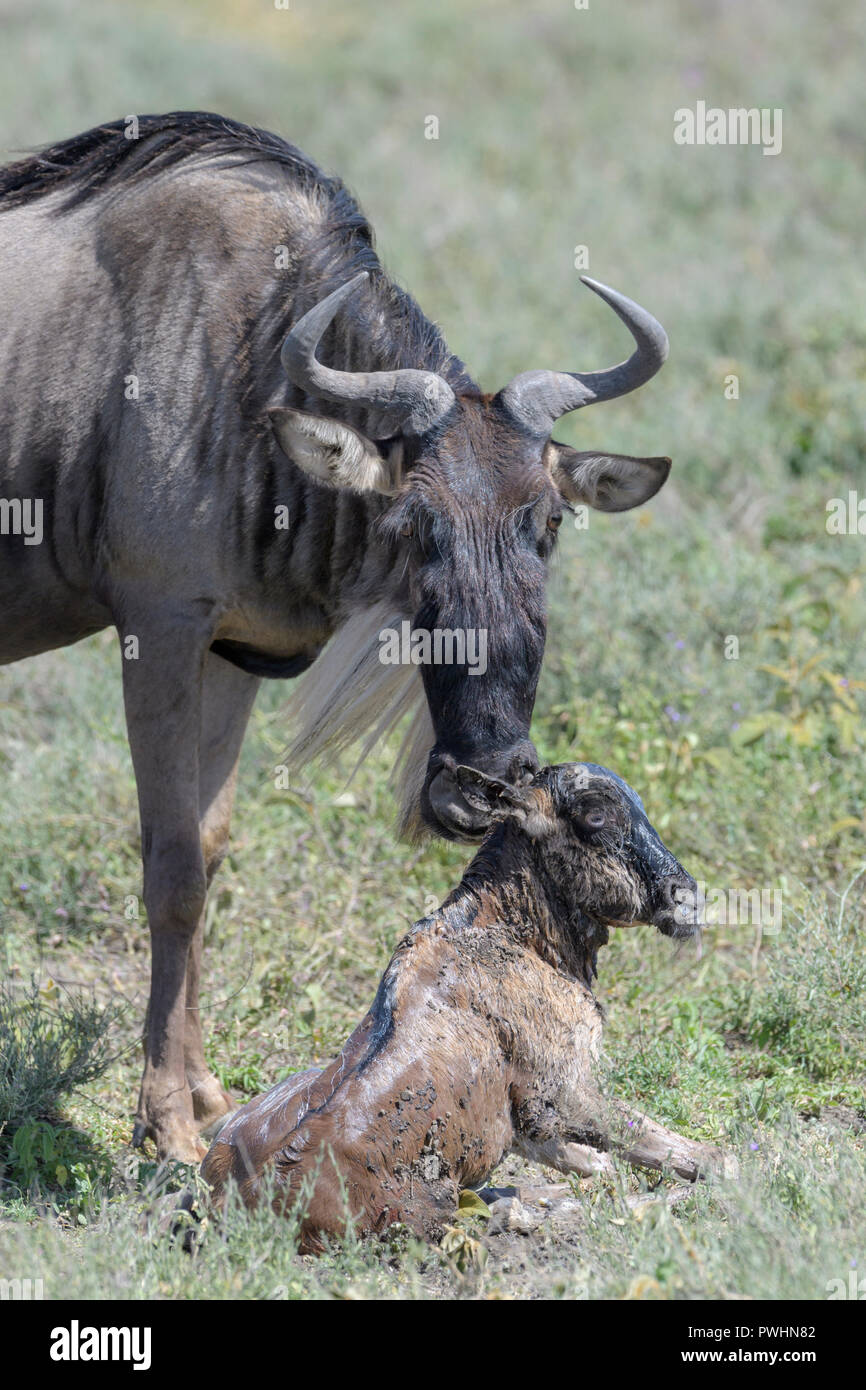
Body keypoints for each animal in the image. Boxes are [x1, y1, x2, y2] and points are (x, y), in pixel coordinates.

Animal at [0, 112, 672, 1161]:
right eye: (412, 526)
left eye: (551, 523)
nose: (486, 786)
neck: (237, 361)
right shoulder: (158, 629)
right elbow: (171, 869)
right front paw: (165, 1125)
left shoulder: (231, 649)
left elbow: (210, 851)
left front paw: (204, 1095)